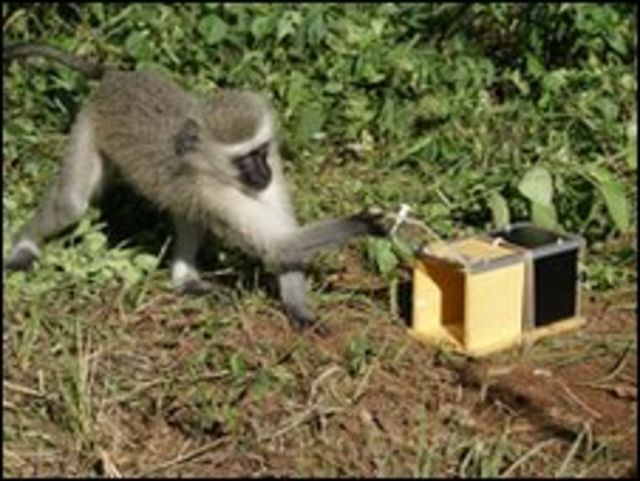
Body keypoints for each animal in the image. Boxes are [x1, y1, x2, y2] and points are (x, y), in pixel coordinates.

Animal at [3, 43, 389, 331]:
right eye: (243, 160)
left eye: (261, 152)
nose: (261, 174)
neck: (212, 166)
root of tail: (119, 77)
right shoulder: (212, 190)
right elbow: (277, 243)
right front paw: (365, 223)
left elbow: (282, 243)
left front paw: (298, 308)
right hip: (88, 123)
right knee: (71, 203)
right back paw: (23, 246)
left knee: (187, 213)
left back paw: (184, 281)